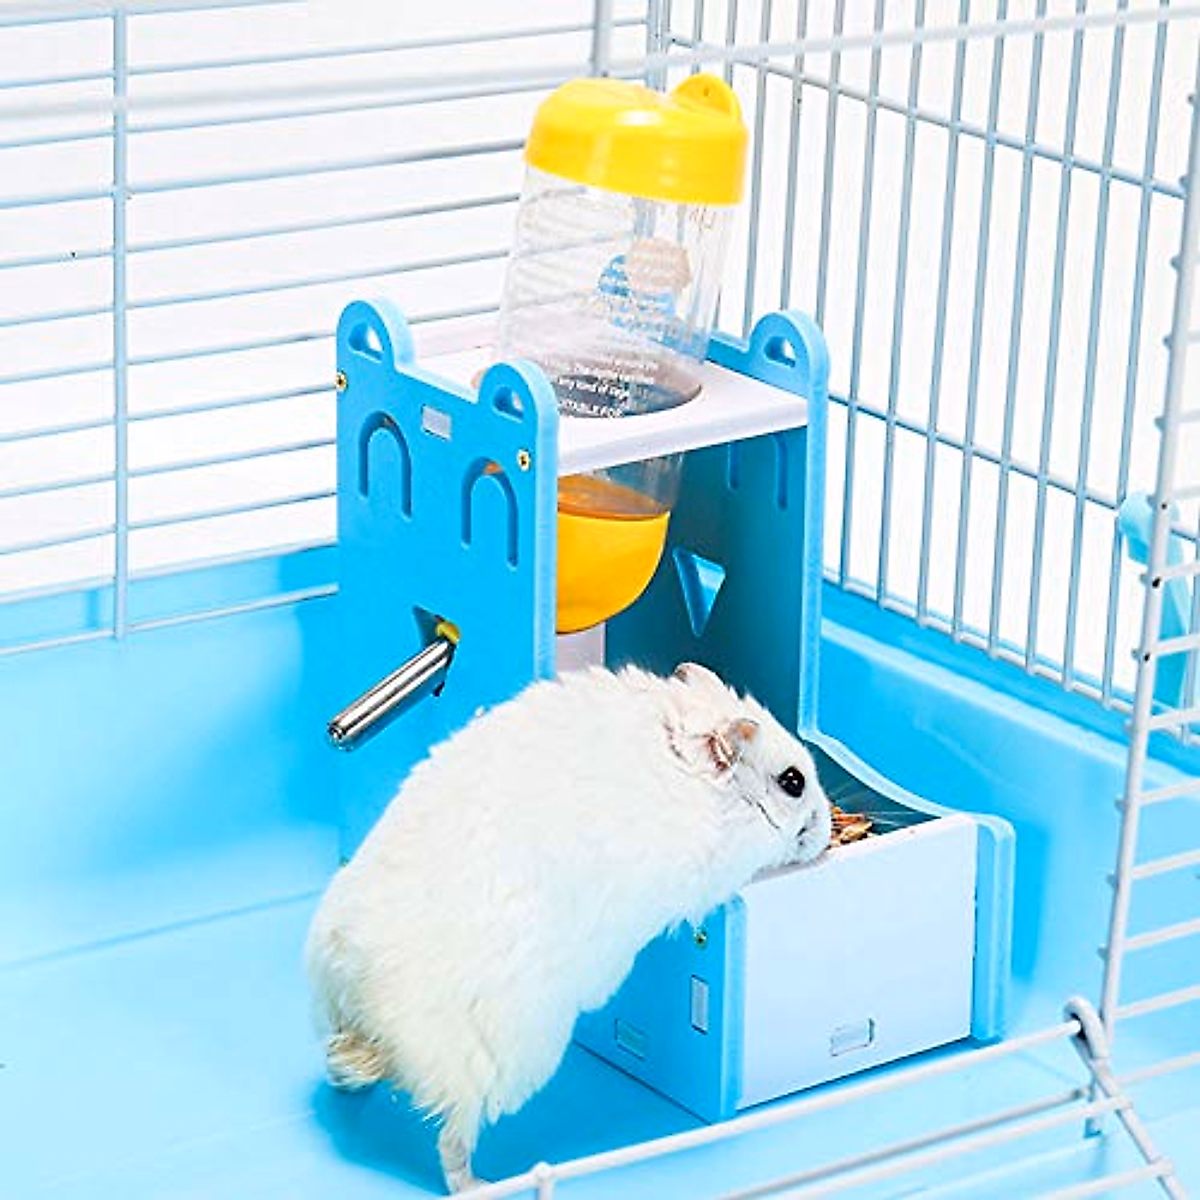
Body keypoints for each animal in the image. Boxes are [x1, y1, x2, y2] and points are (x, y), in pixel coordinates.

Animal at [305, 662, 832, 1193]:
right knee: (451, 1143)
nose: (829, 831)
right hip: (500, 1062)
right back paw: (482, 1185)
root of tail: (369, 1008)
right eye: (792, 781)